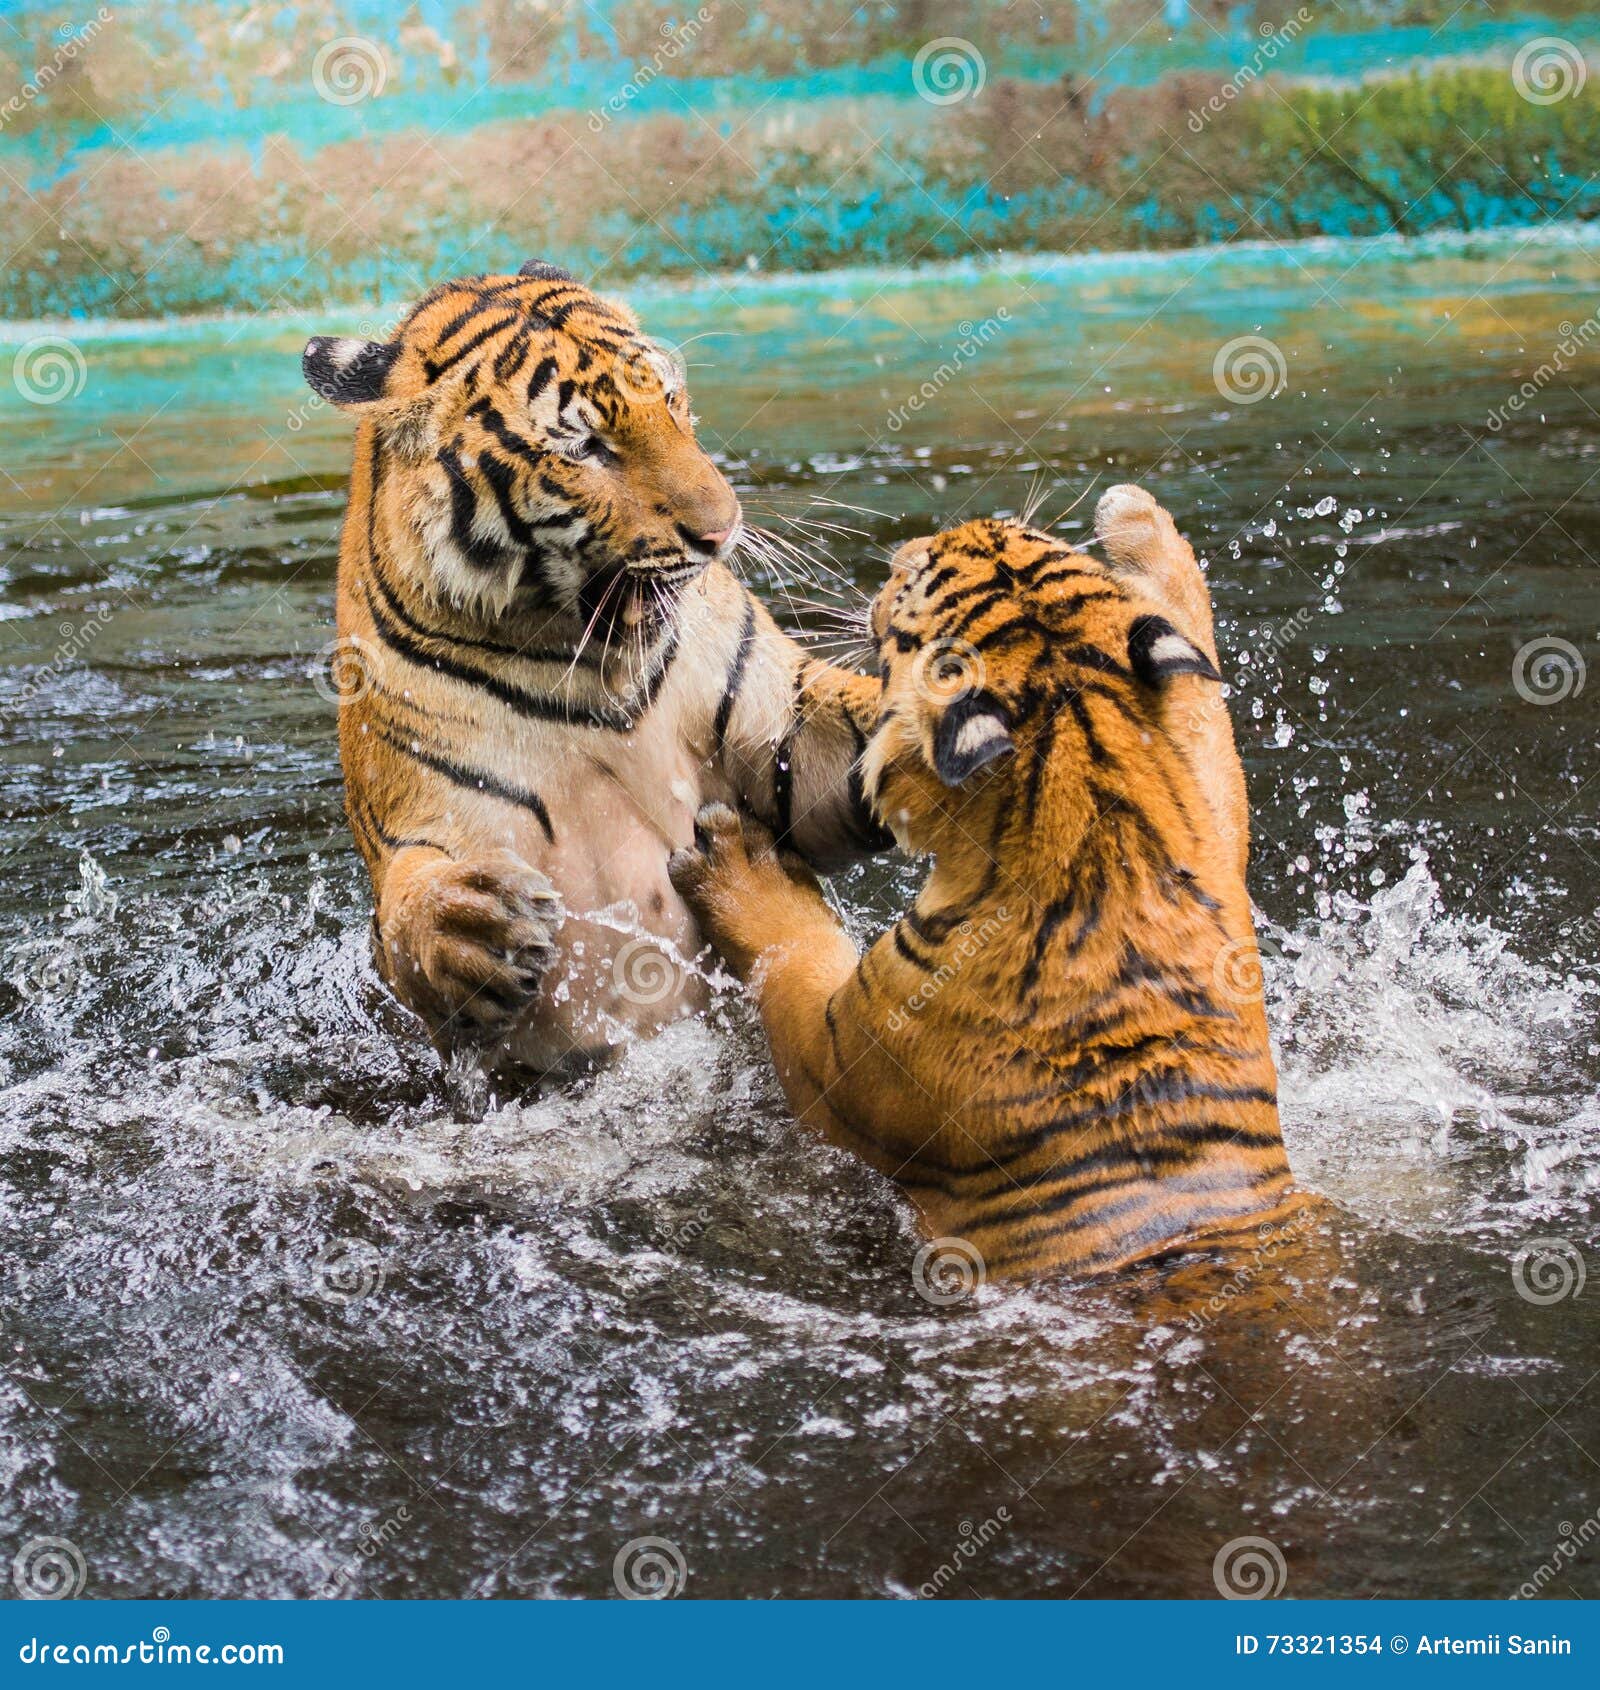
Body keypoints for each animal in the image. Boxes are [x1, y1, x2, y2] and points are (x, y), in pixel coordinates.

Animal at [302, 262, 887, 1075]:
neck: (586, 664)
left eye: (670, 401)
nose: (723, 530)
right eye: (584, 448)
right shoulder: (416, 818)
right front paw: (468, 920)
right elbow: (408, 910)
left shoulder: (781, 725)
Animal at [669, 484, 1307, 1280]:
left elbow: (787, 950)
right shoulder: (1199, 799)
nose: (908, 547)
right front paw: (1135, 515)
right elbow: (1203, 693)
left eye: (910, 585)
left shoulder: (839, 1059)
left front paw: (734, 857)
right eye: (1023, 539)